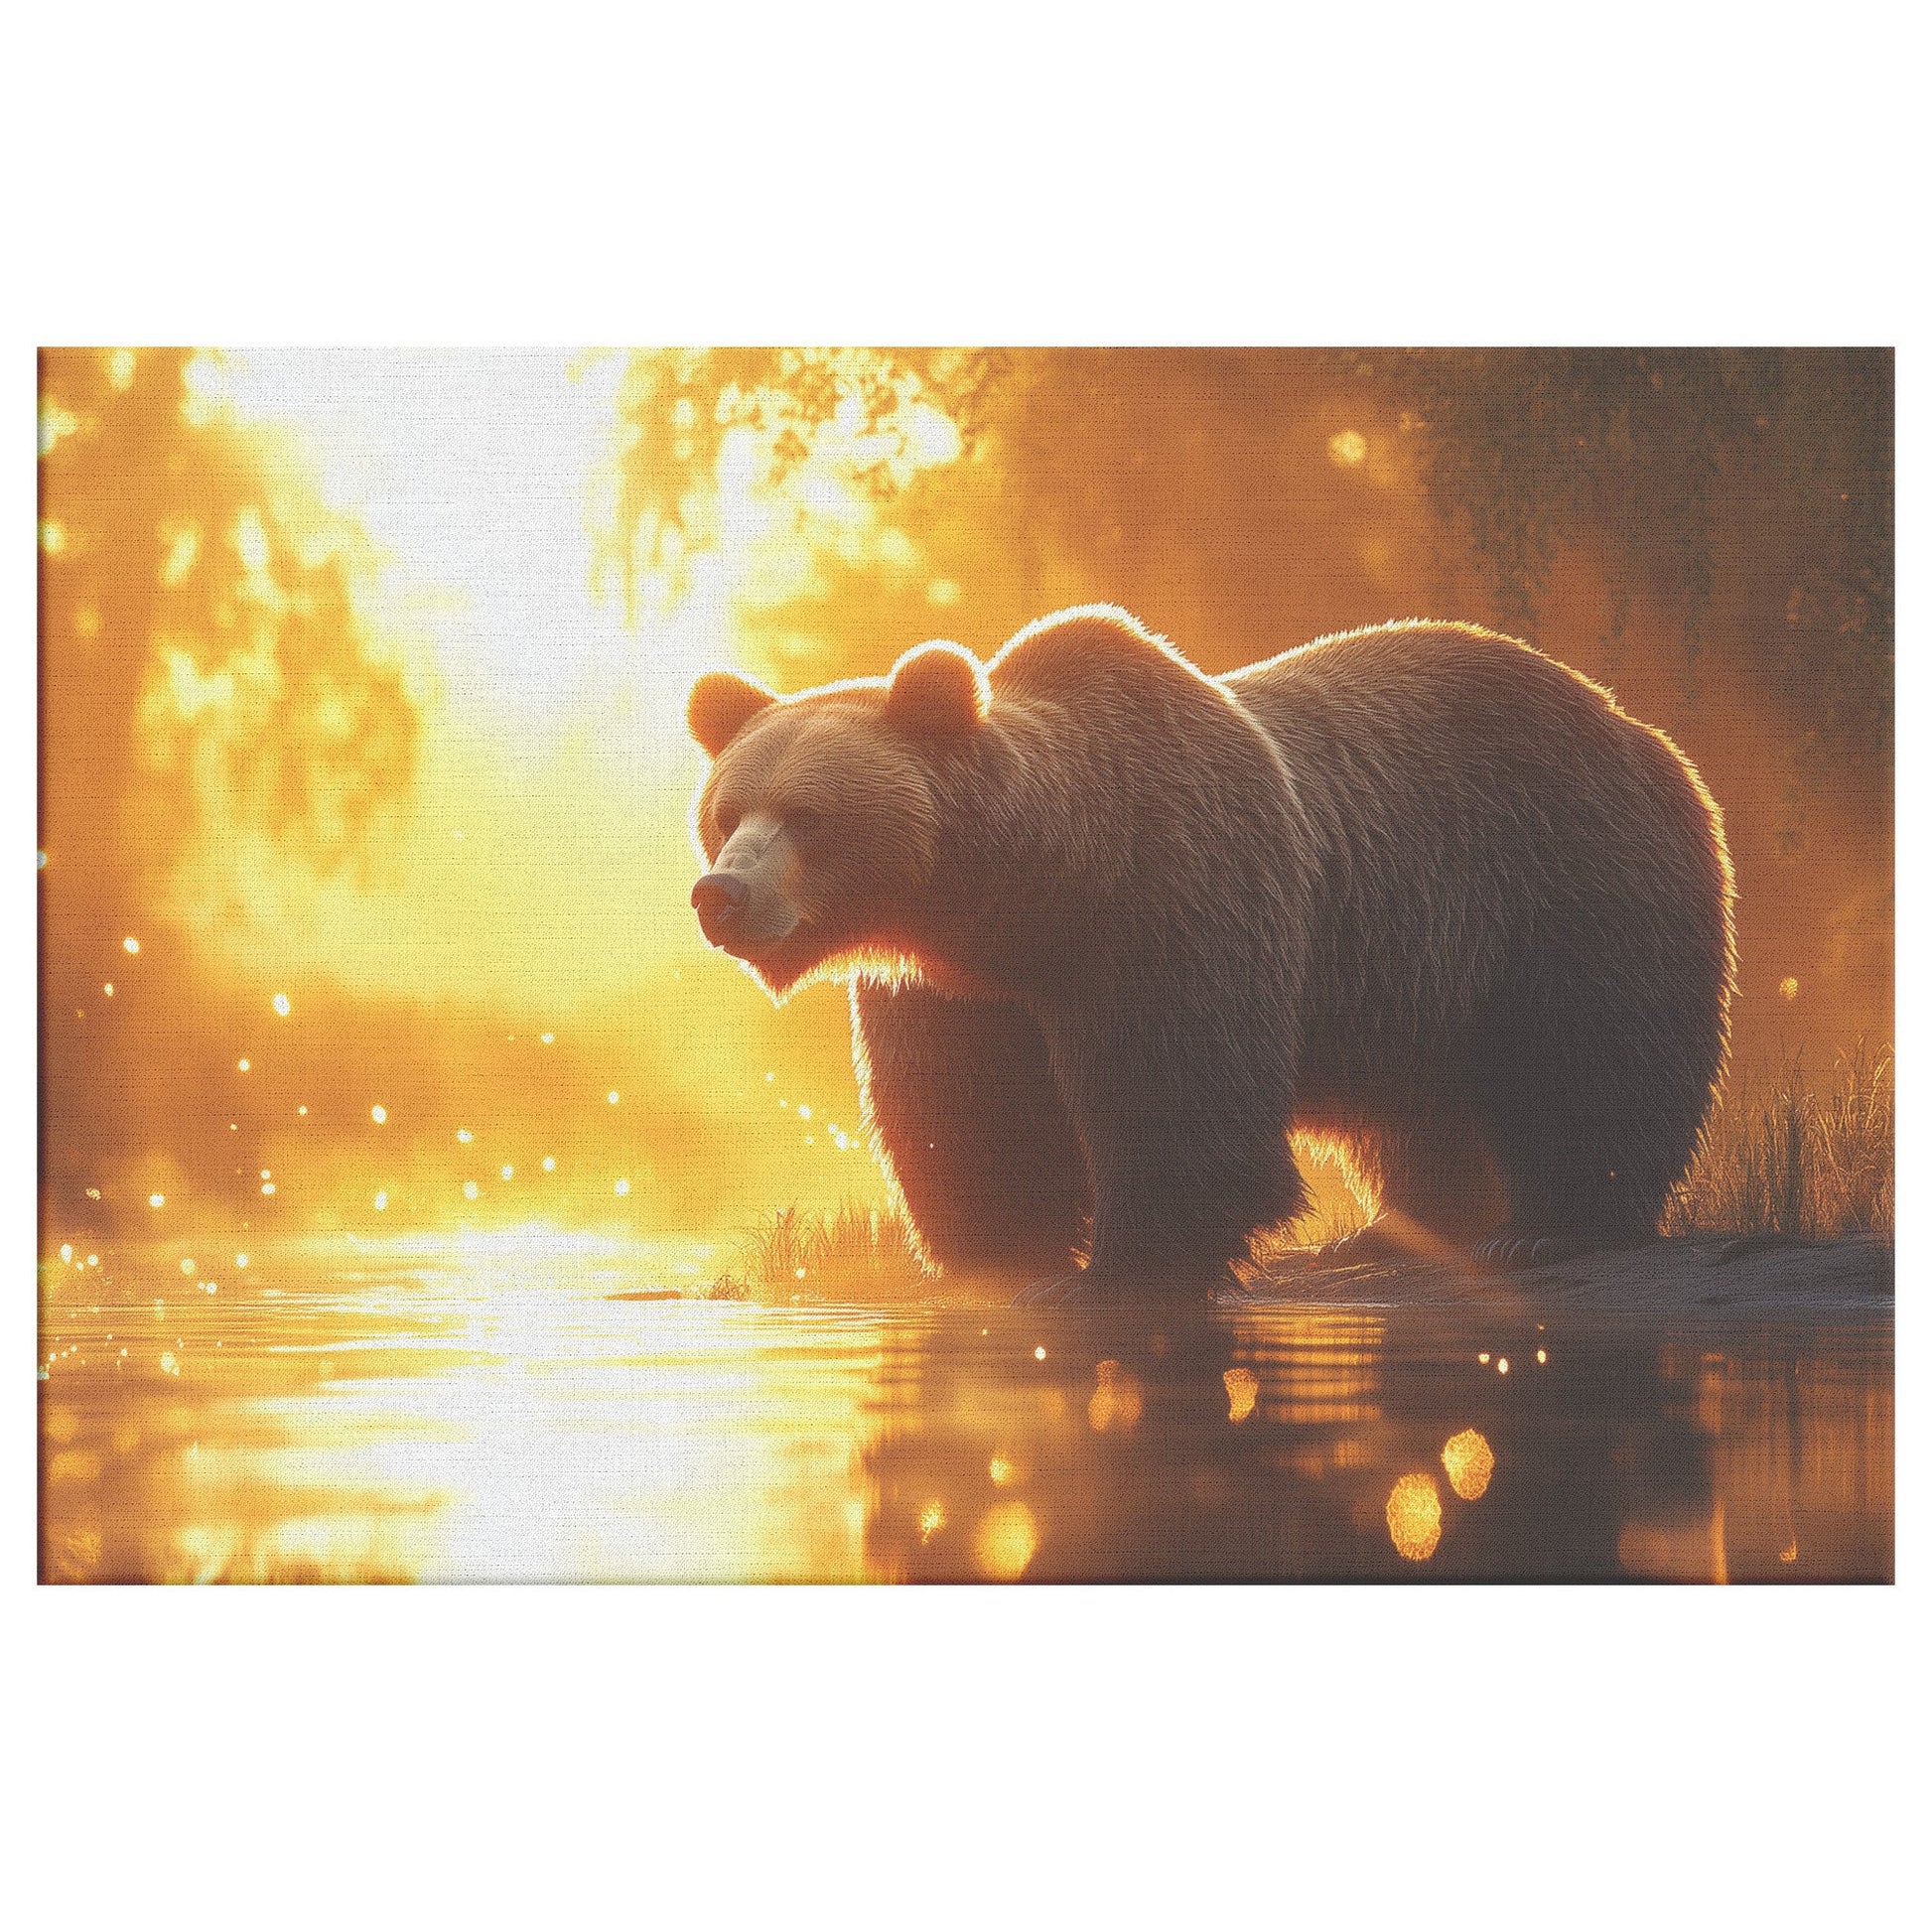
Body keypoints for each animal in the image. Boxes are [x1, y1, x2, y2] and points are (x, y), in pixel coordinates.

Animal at [686, 606, 1735, 1303]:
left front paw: (1124, 1262)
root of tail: (1642, 728)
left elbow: (1176, 1092)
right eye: (728, 813)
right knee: (1425, 1103)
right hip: (1424, 964)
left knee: (1592, 1054)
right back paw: (1382, 1237)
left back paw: (1549, 1227)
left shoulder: (1167, 897)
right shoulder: (959, 987)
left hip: (1563, 881)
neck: (1029, 895)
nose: (721, 896)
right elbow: (971, 1115)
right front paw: (1000, 1252)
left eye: (809, 817)